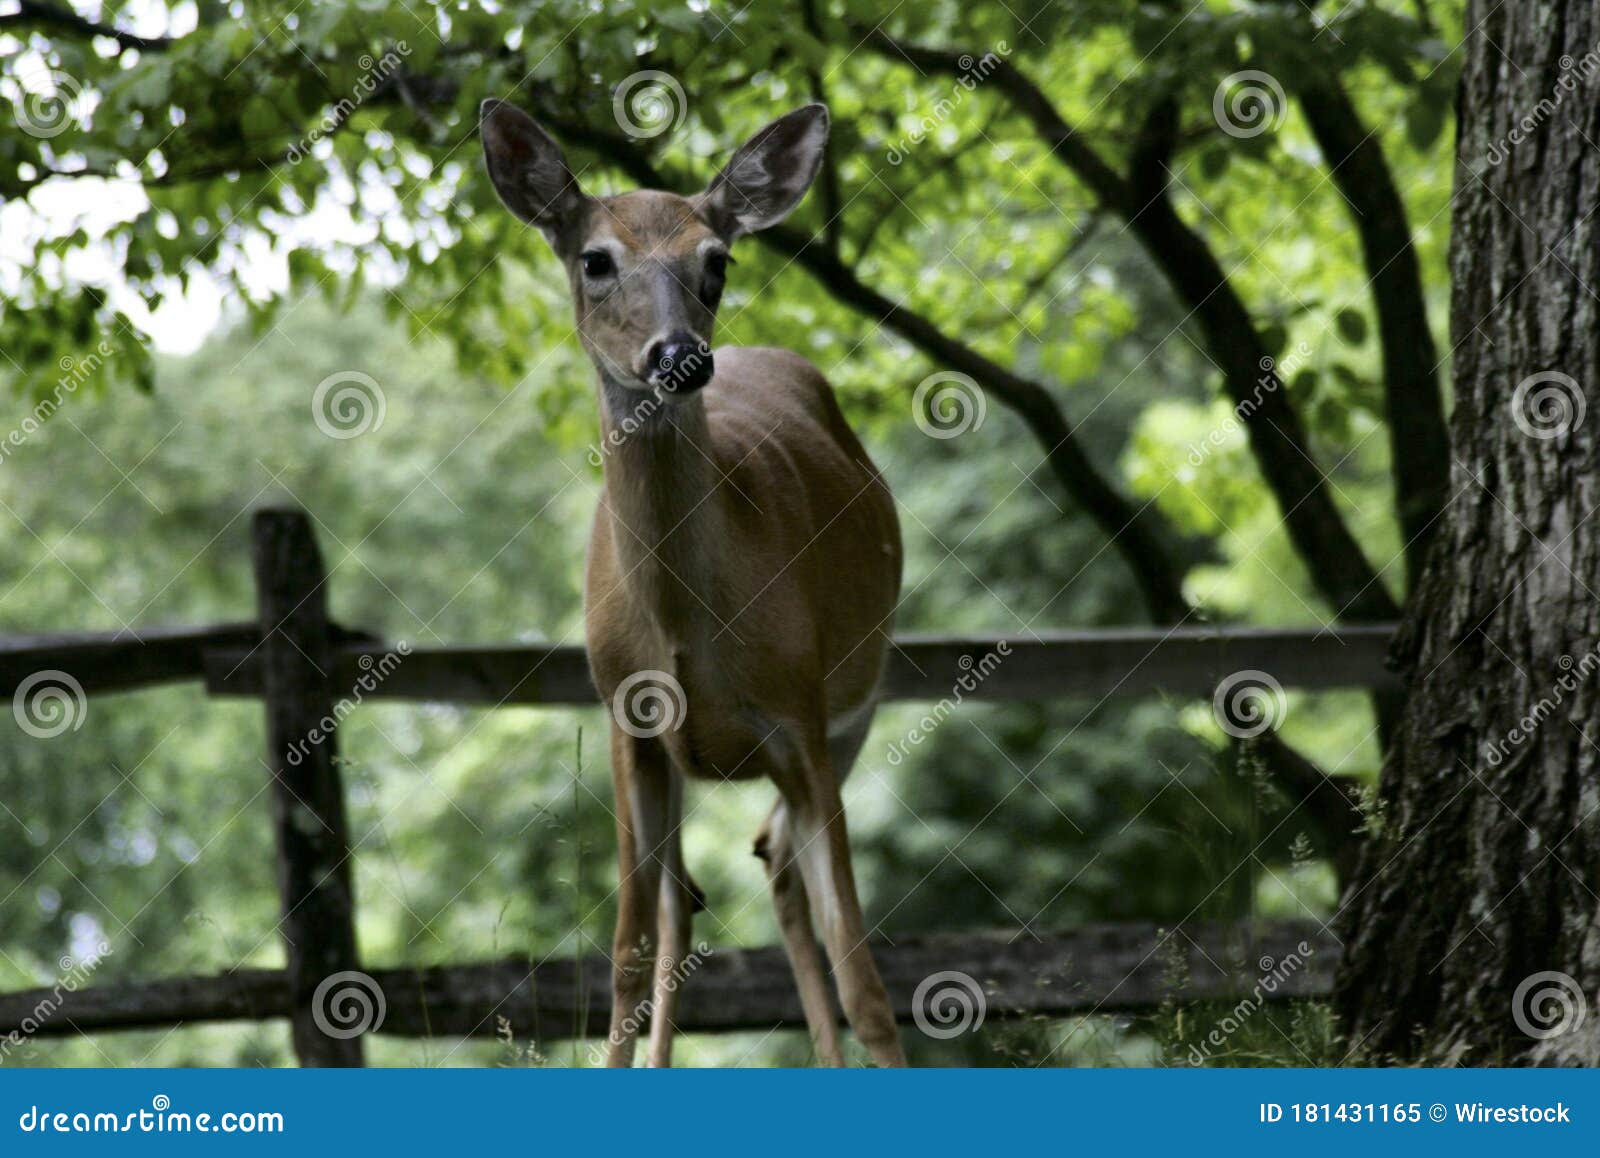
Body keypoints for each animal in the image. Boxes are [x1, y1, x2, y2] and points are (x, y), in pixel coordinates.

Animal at [480, 99, 906, 1067]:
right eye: (595, 259)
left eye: (718, 261)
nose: (678, 356)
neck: (685, 621)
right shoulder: (626, 721)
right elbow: (628, 954)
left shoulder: (803, 718)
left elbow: (866, 976)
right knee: (688, 904)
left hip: (857, 707)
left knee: (778, 867)